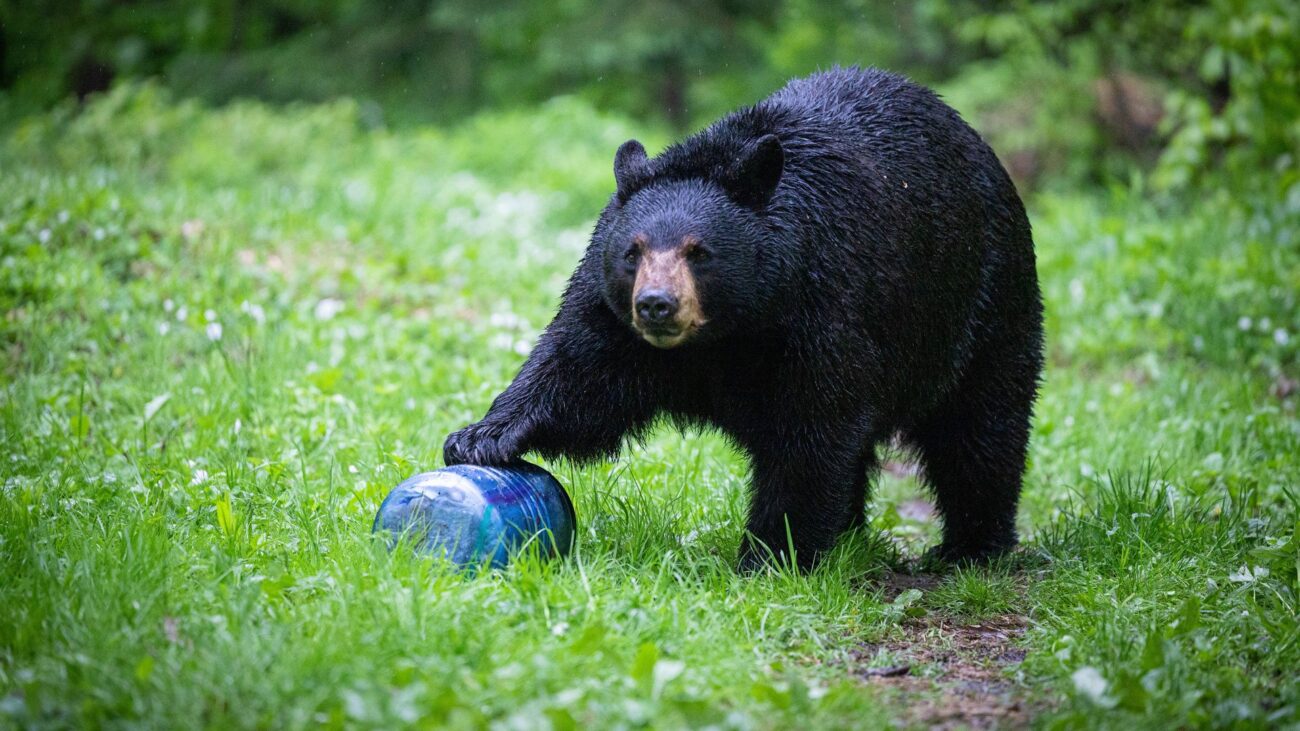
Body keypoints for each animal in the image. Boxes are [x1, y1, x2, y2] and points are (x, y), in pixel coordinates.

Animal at [444, 67, 1044, 571]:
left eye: (698, 251)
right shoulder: (612, 313)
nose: (656, 304)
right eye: (633, 251)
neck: (735, 327)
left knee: (981, 428)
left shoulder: (825, 310)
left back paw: (971, 547)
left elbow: (810, 432)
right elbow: (579, 372)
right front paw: (481, 437)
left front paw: (771, 555)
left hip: (983, 302)